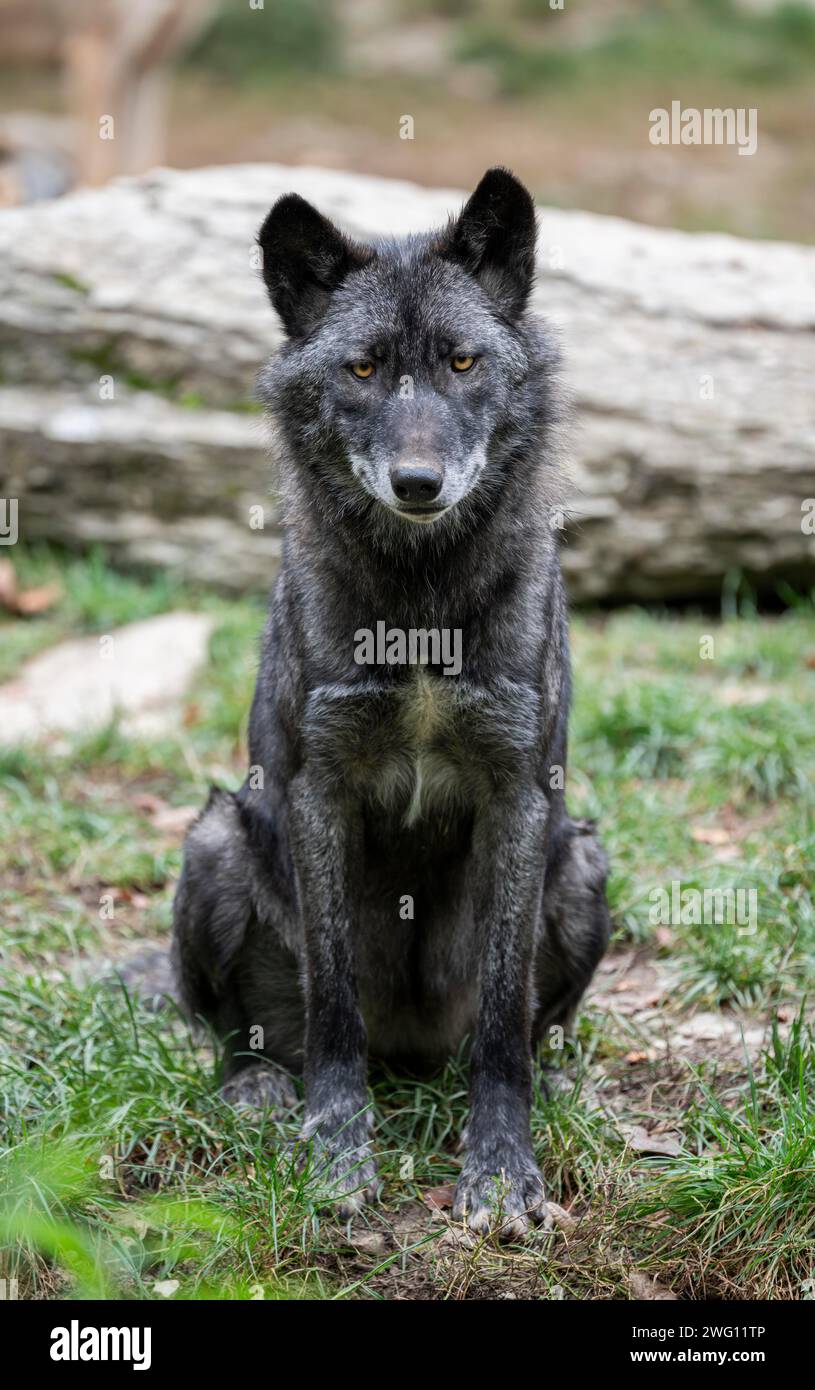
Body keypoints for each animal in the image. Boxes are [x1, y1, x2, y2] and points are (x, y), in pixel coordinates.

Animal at [172, 167, 611, 1238]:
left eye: (461, 361)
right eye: (364, 369)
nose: (419, 482)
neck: (417, 612)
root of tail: (408, 1054)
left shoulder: (519, 797)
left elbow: (501, 1024)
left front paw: (501, 1167)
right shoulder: (317, 789)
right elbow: (333, 1003)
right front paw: (336, 1150)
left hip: (583, 861)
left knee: (531, 1027)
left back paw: (556, 1080)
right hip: (212, 840)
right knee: (242, 1033)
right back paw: (257, 1086)